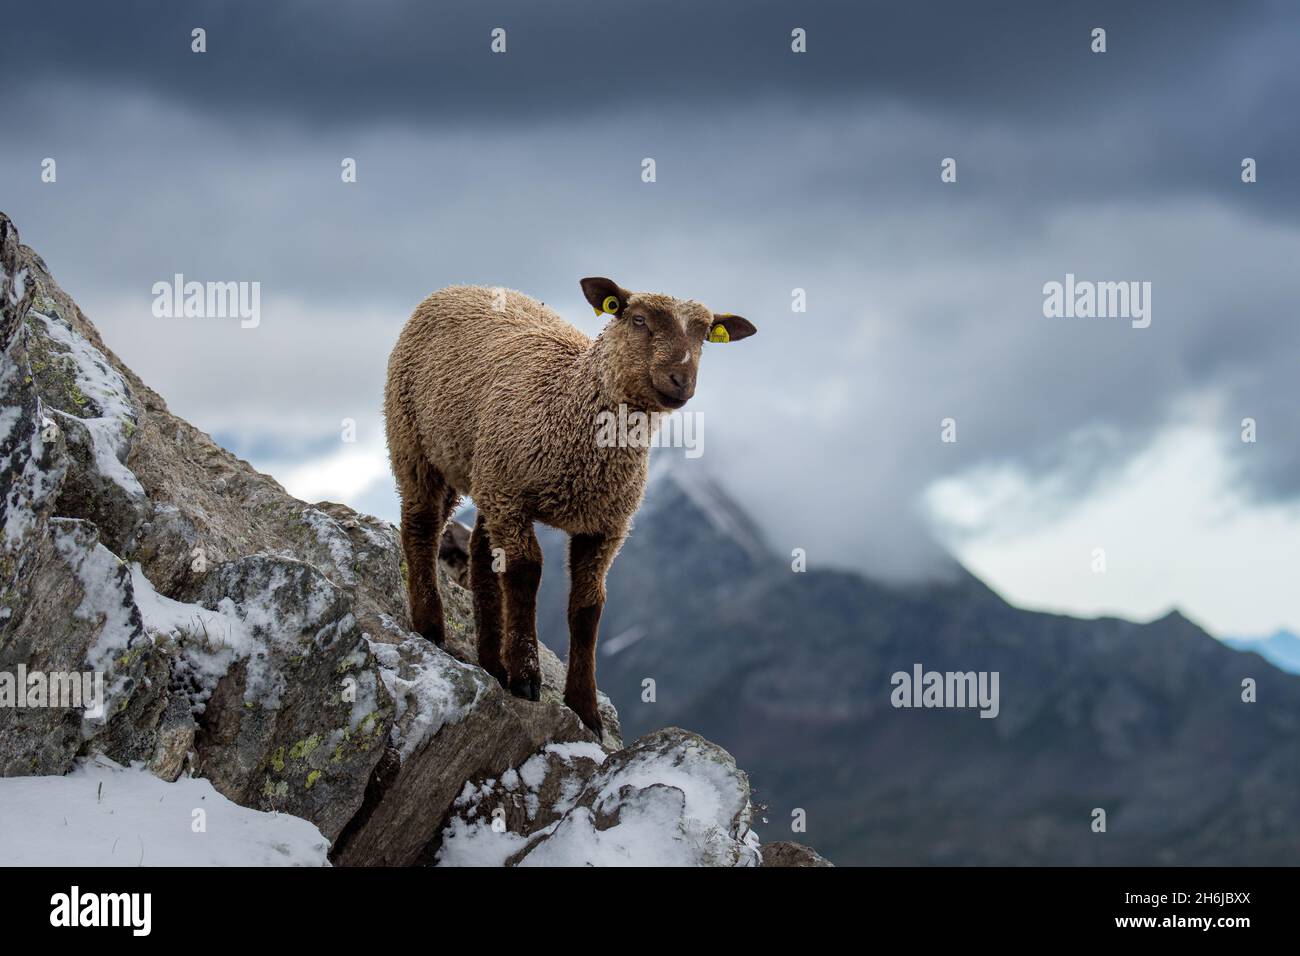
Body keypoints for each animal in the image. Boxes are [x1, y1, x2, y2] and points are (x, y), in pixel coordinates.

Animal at [383, 277, 756, 735]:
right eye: (637, 319)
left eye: (705, 335)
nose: (681, 381)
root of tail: (460, 286)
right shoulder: (512, 497)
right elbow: (525, 574)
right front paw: (526, 676)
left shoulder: (605, 526)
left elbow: (588, 606)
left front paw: (585, 707)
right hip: (416, 441)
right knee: (420, 525)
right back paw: (431, 626)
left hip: (483, 472)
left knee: (479, 552)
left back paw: (490, 660)